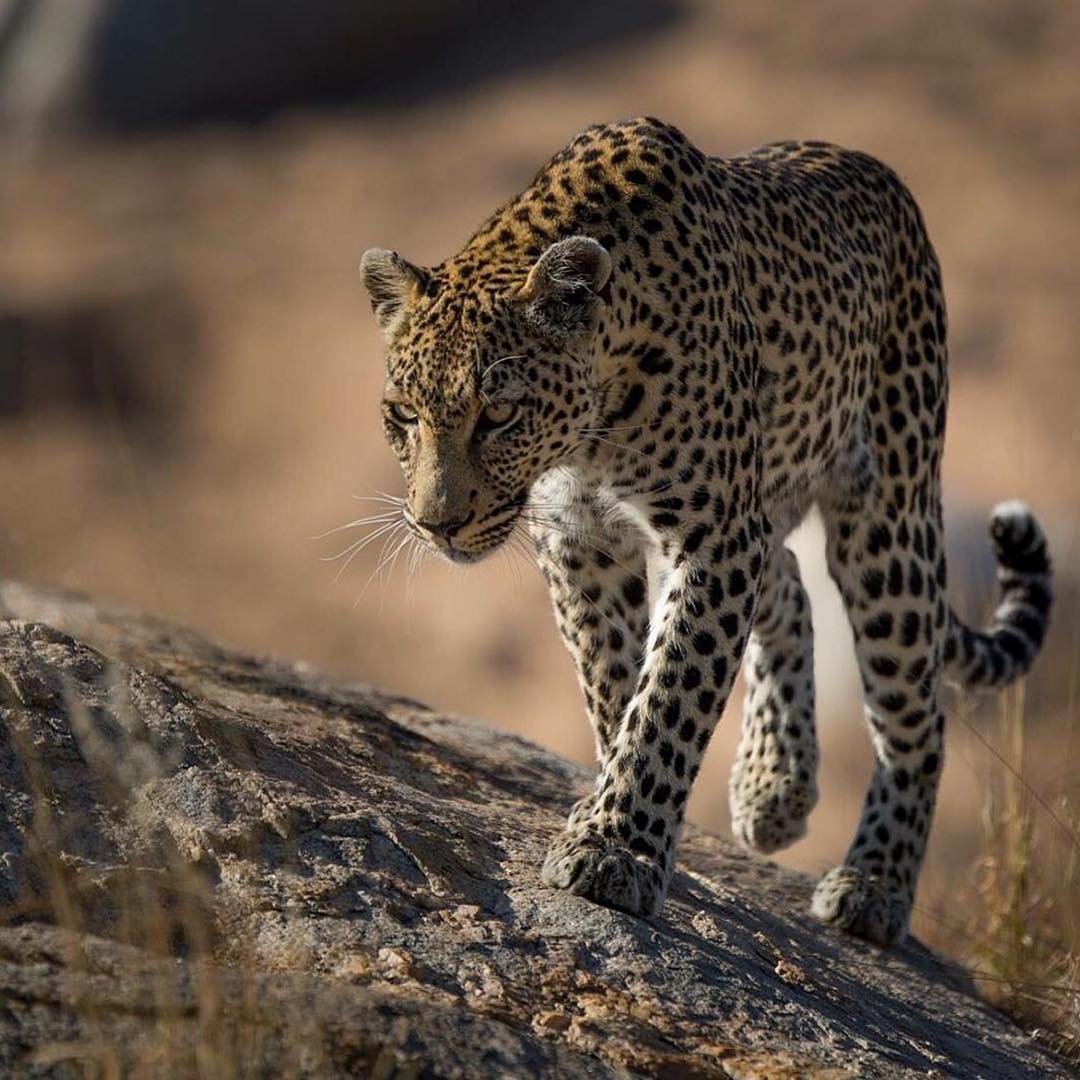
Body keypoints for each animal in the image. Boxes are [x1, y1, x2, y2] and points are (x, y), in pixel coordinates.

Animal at [359, 117, 1052, 946]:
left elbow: (671, 693)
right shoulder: (582, 539)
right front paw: (617, 811)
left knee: (913, 713)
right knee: (791, 588)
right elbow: (614, 683)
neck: (592, 429)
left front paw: (615, 849)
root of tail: (878, 173)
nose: (437, 523)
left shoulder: (715, 536)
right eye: (403, 415)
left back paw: (874, 884)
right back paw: (773, 788)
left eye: (499, 414)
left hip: (888, 515)